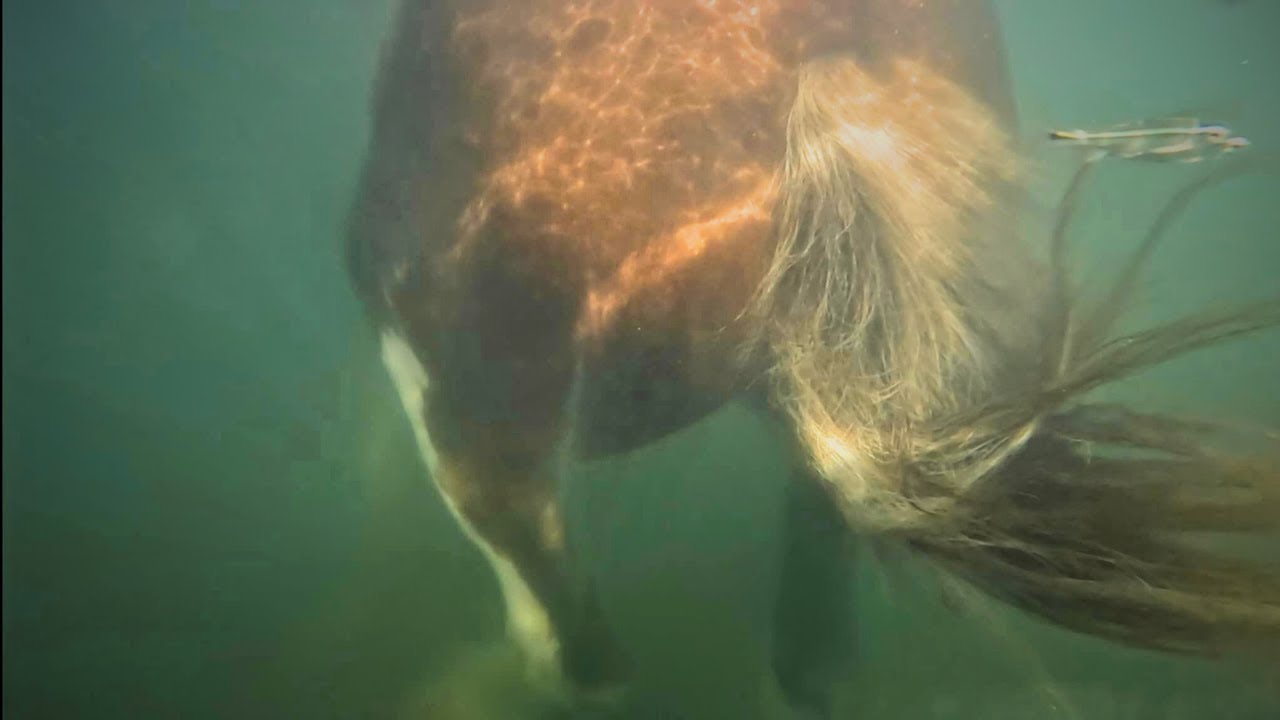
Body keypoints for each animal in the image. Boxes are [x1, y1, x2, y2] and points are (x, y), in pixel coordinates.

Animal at [344, 0, 1280, 716]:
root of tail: (812, 84)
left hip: (460, 337)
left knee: (523, 534)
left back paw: (540, 678)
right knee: (828, 485)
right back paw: (807, 671)